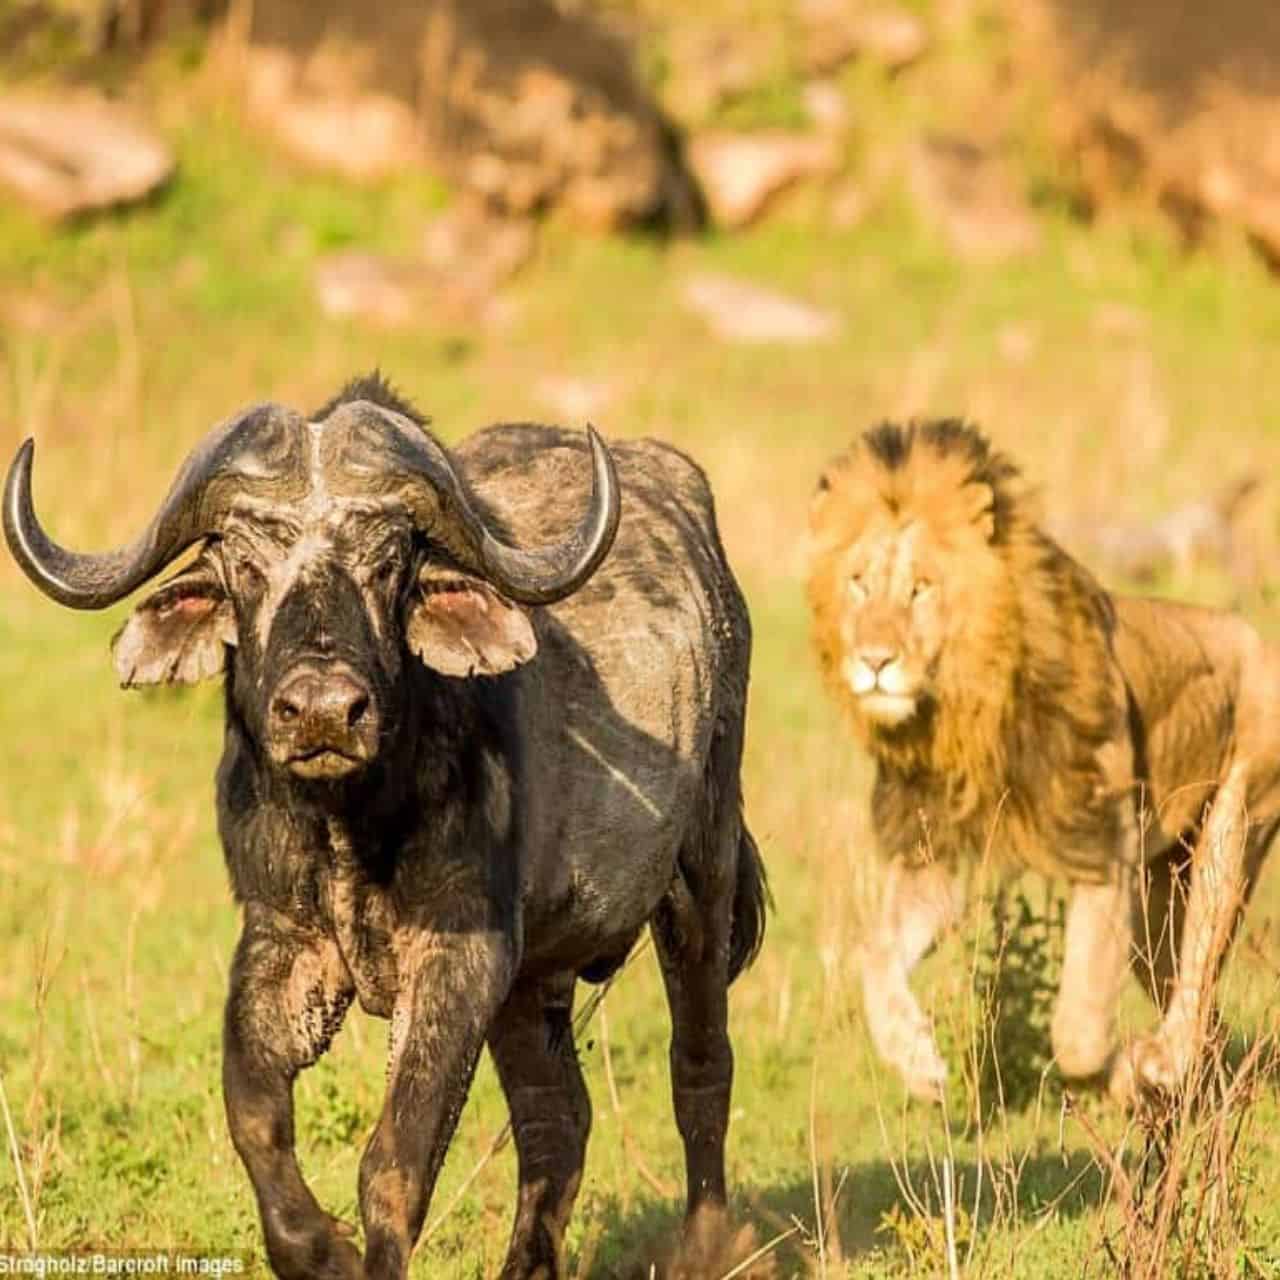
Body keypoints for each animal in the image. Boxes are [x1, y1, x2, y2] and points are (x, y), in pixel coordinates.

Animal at [806, 419, 1280, 1105]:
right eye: (858, 581)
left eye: (921, 588)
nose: (873, 660)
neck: (964, 710)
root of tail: (1258, 637)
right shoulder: (931, 853)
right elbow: (875, 955)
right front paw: (916, 1062)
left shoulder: (1103, 844)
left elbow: (1078, 1027)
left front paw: (1116, 1072)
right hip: (1158, 893)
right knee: (1201, 1004)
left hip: (1235, 821)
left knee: (1196, 976)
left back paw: (1160, 1064)